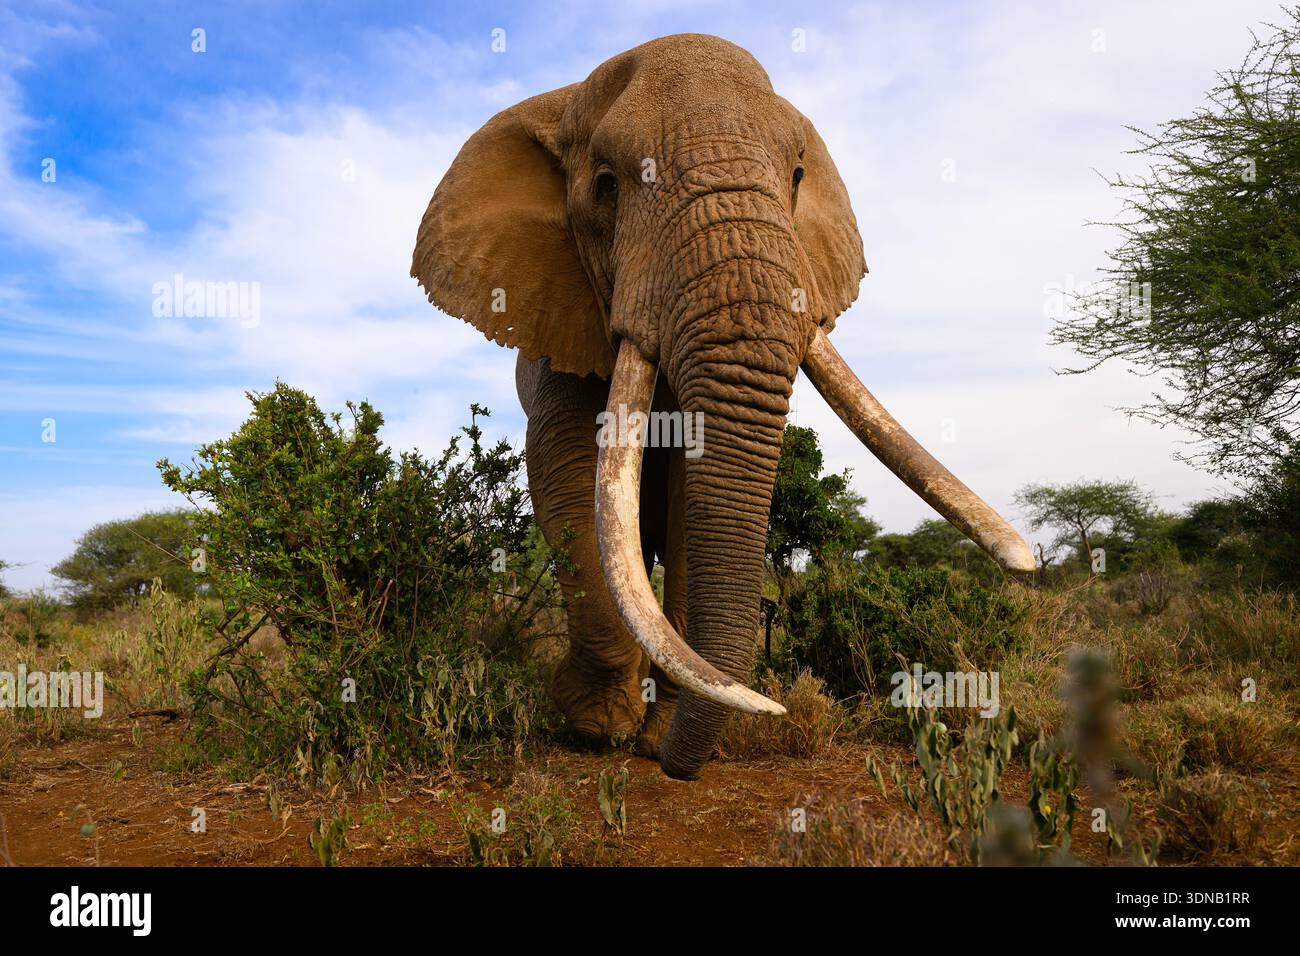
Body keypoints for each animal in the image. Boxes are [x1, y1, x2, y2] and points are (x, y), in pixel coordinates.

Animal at [412, 34, 1033, 780]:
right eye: (607, 186)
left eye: (796, 176)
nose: (674, 764)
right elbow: (567, 470)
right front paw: (597, 730)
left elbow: (691, 494)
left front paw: (655, 734)